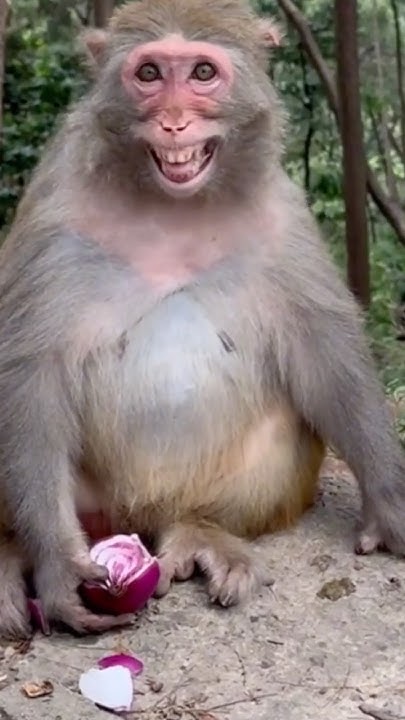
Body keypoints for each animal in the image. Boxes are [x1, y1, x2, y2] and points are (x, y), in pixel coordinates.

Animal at [0, 0, 404, 639]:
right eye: (148, 75)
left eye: (202, 74)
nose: (173, 122)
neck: (174, 205)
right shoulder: (53, 205)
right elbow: (29, 368)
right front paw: (57, 566)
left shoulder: (282, 212)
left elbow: (323, 350)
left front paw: (389, 500)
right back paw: (14, 555)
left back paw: (199, 532)